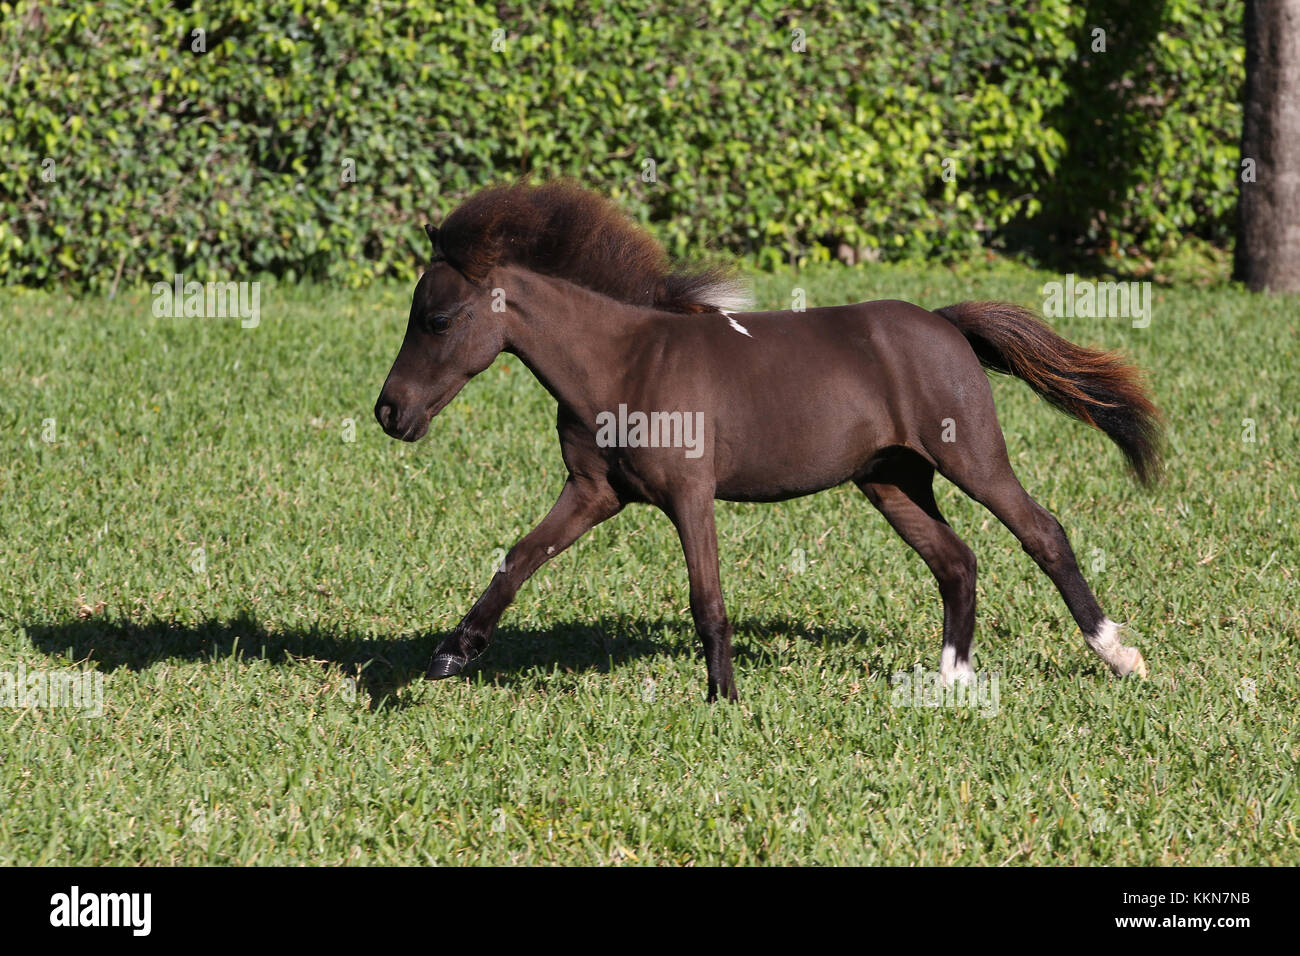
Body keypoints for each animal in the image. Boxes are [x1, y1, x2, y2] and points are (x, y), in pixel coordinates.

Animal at [374, 181, 1161, 702]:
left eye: (438, 319)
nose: (389, 412)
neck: (626, 361)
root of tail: (944, 323)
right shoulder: (595, 492)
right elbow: (517, 559)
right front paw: (449, 656)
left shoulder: (689, 494)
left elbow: (707, 599)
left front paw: (722, 701)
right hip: (891, 478)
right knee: (956, 560)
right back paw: (952, 681)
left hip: (970, 455)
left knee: (1042, 532)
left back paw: (1117, 655)